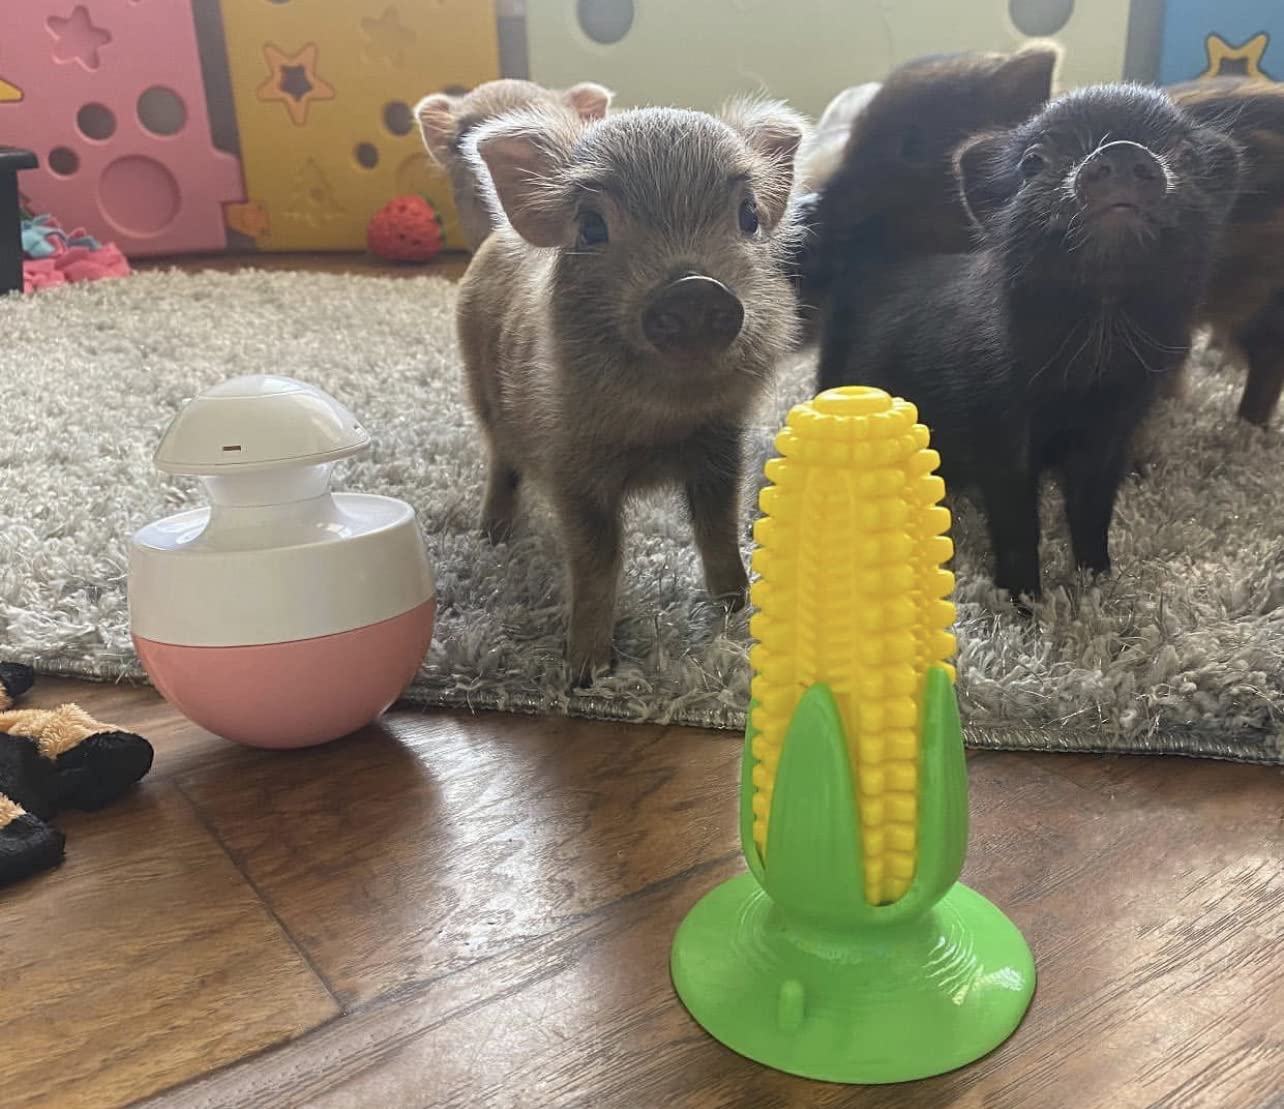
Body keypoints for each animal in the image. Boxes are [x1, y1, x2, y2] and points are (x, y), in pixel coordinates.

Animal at [457, 102, 806, 680]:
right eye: (591, 225)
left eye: (748, 216)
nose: (694, 288)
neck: (657, 435)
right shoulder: (572, 468)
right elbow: (599, 559)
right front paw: (585, 672)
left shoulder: (721, 449)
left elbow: (719, 530)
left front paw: (737, 610)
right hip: (482, 396)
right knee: (502, 465)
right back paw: (491, 537)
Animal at [817, 85, 1241, 601]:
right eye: (1034, 161)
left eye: (1185, 155)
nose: (1122, 152)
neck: (1095, 352)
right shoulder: (998, 419)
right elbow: (1016, 518)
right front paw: (1025, 602)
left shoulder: (1117, 421)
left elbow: (1094, 505)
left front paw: (1098, 583)